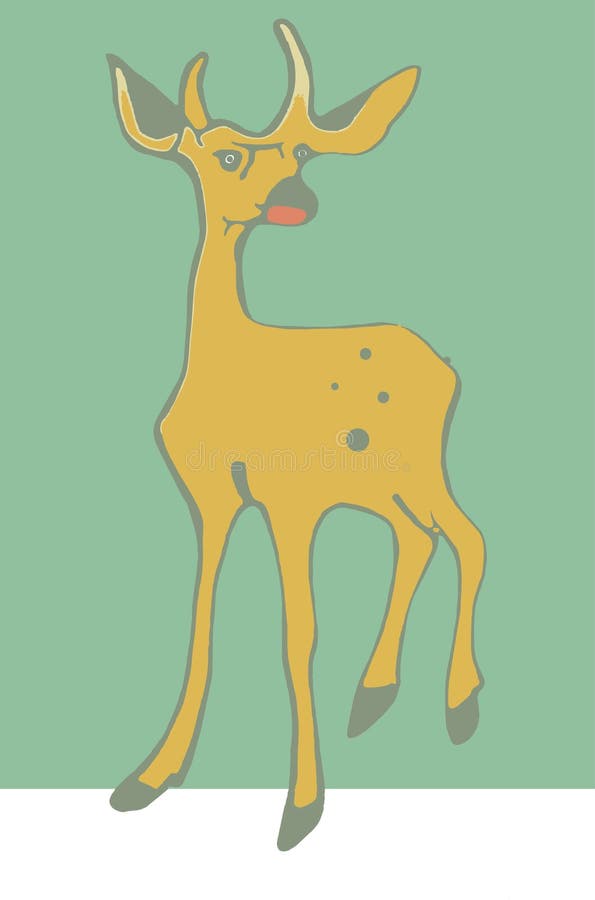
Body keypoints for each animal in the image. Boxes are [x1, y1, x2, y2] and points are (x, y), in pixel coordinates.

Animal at [106, 19, 485, 851]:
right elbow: (201, 621)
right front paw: (149, 777)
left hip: (417, 465)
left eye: (303, 156)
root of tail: (442, 362)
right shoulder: (213, 495)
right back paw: (374, 693)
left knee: (466, 537)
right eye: (225, 155)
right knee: (418, 538)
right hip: (374, 482)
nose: (296, 200)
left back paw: (460, 705)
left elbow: (298, 633)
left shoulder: (289, 496)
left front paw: (301, 808)